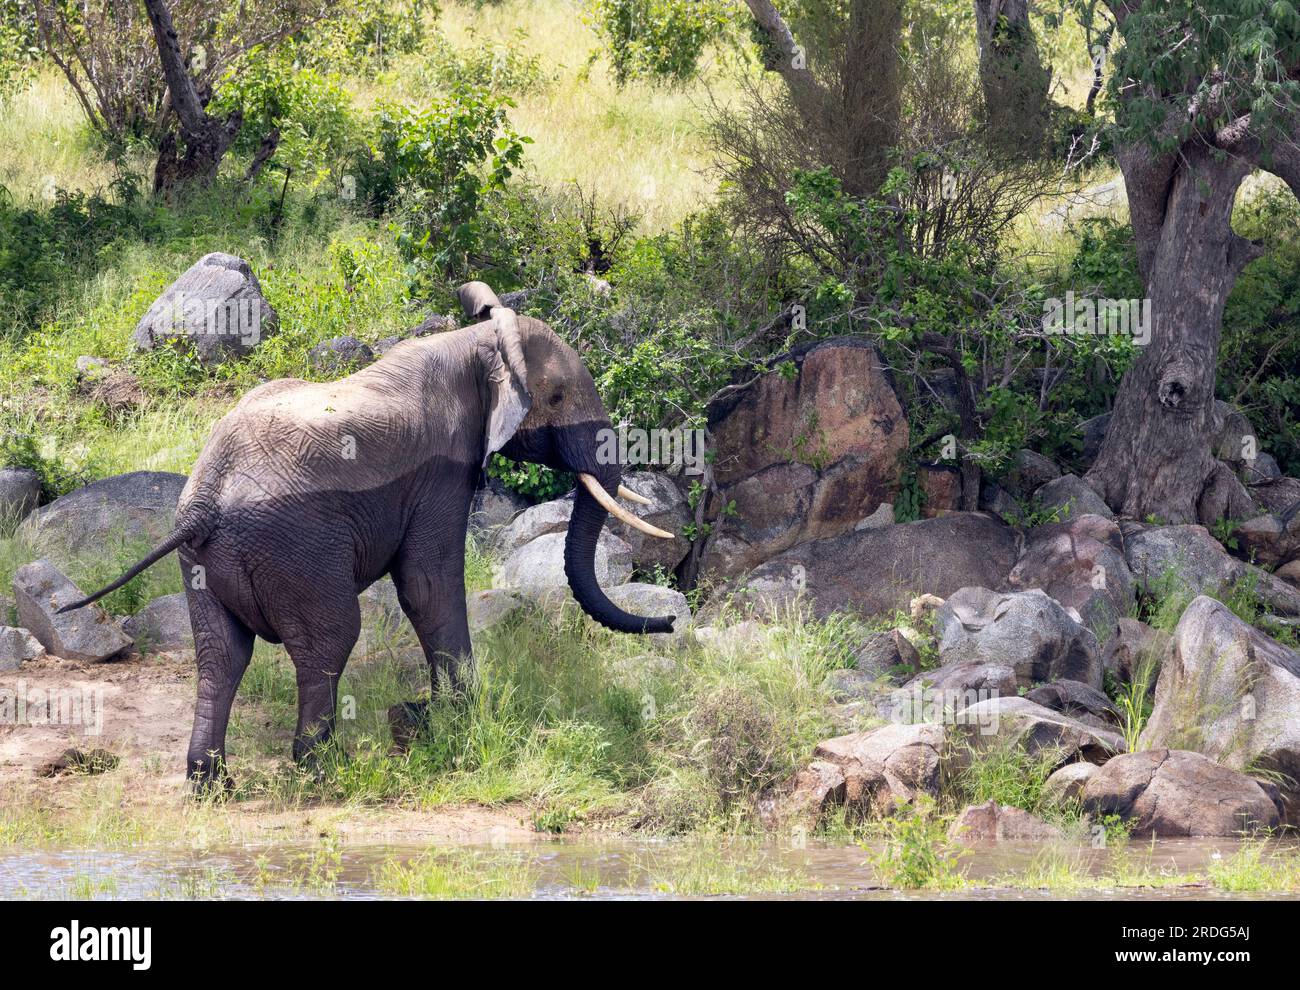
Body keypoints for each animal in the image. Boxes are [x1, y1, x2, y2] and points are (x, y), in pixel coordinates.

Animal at [63, 281, 677, 790]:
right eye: (556, 399)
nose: (670, 621)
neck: (475, 344)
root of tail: (204, 503)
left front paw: (437, 718)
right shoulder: (440, 470)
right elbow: (427, 586)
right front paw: (458, 721)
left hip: (204, 562)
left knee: (221, 655)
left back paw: (212, 785)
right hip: (296, 549)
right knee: (329, 638)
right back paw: (322, 768)